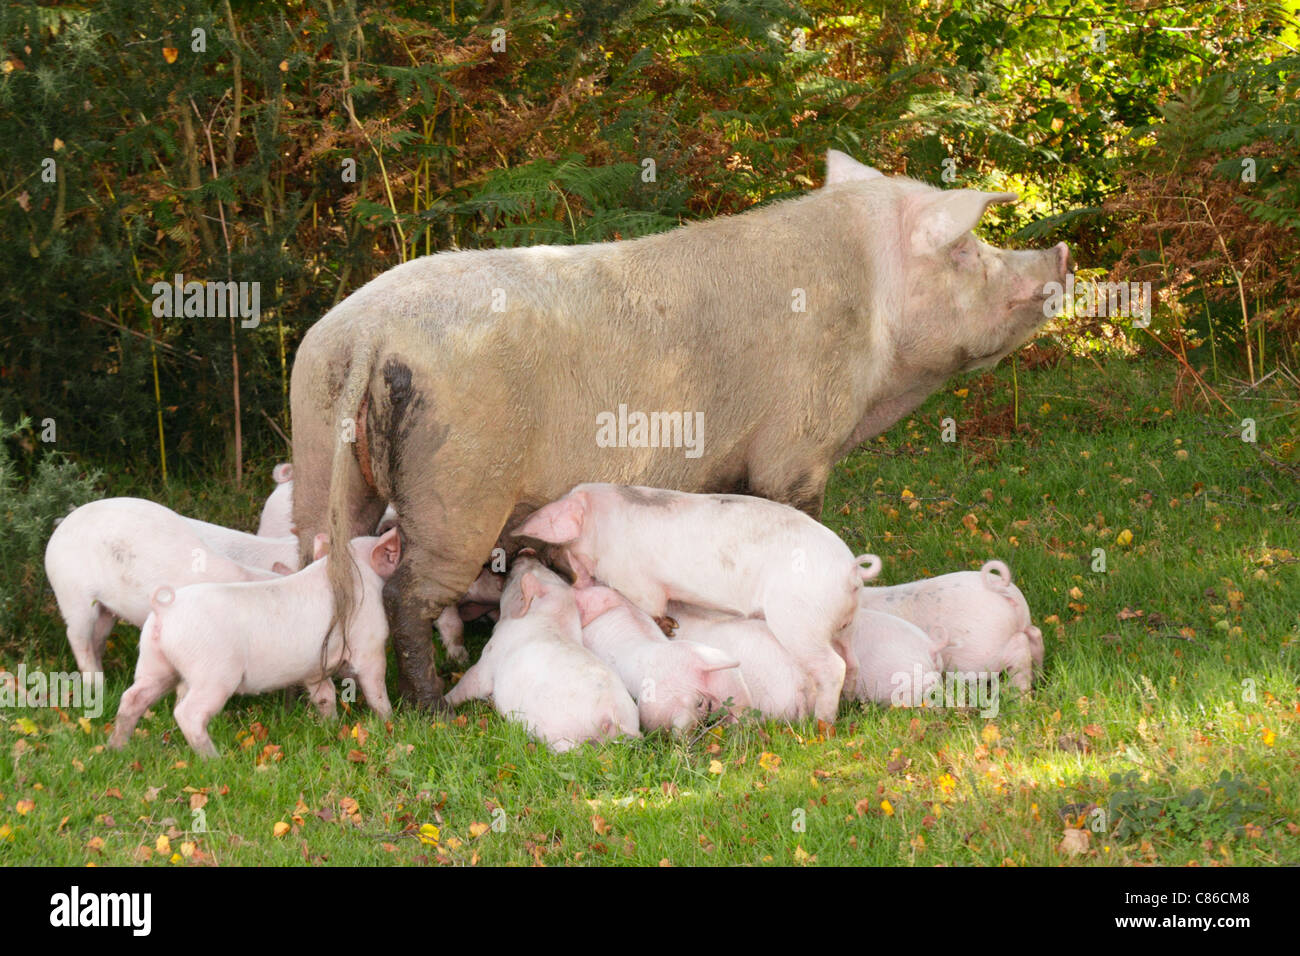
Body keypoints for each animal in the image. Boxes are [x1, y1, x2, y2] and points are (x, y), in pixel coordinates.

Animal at [45, 497, 288, 673]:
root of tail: (61, 526)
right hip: (72, 594)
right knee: (76, 635)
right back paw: (96, 684)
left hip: (105, 608)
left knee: (98, 636)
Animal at [107, 529, 400, 758]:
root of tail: (164, 609)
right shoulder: (370, 640)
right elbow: (375, 686)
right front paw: (389, 723)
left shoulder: (314, 668)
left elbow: (325, 695)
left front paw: (331, 727)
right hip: (213, 672)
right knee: (187, 713)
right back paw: (215, 759)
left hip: (154, 661)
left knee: (133, 697)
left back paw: (118, 747)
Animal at [445, 557, 640, 752]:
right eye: (550, 571)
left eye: (524, 573)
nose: (526, 555)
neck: (551, 617)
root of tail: (614, 717)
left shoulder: (489, 659)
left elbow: (468, 683)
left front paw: (445, 700)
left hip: (559, 733)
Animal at [856, 560, 1043, 691]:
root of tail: (1002, 591)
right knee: (1035, 634)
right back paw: (1038, 676)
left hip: (979, 654)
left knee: (1020, 646)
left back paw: (1017, 693)